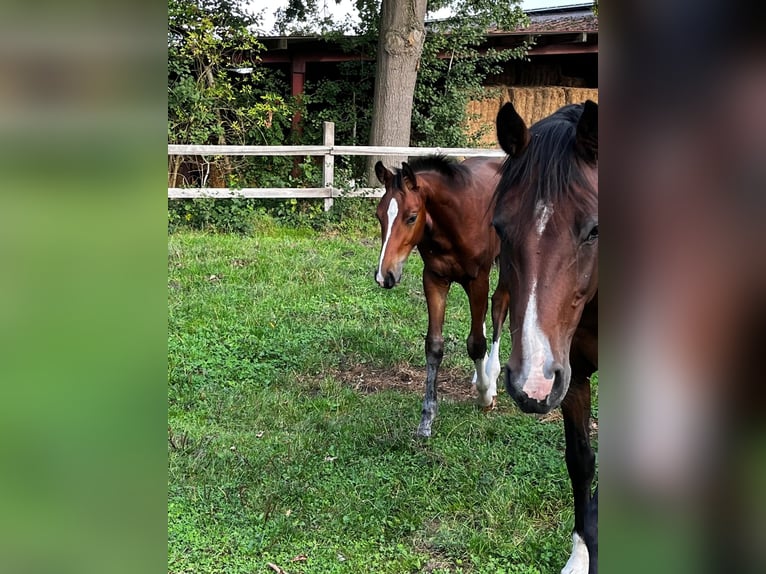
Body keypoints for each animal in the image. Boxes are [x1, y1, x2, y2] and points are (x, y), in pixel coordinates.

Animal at [373, 154, 510, 437]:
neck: (454, 221)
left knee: (499, 305)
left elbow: (476, 343)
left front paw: (484, 397)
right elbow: (434, 346)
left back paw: (491, 376)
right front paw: (426, 418)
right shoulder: (434, 279)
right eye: (378, 216)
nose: (384, 275)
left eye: (412, 217)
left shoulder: (477, 279)